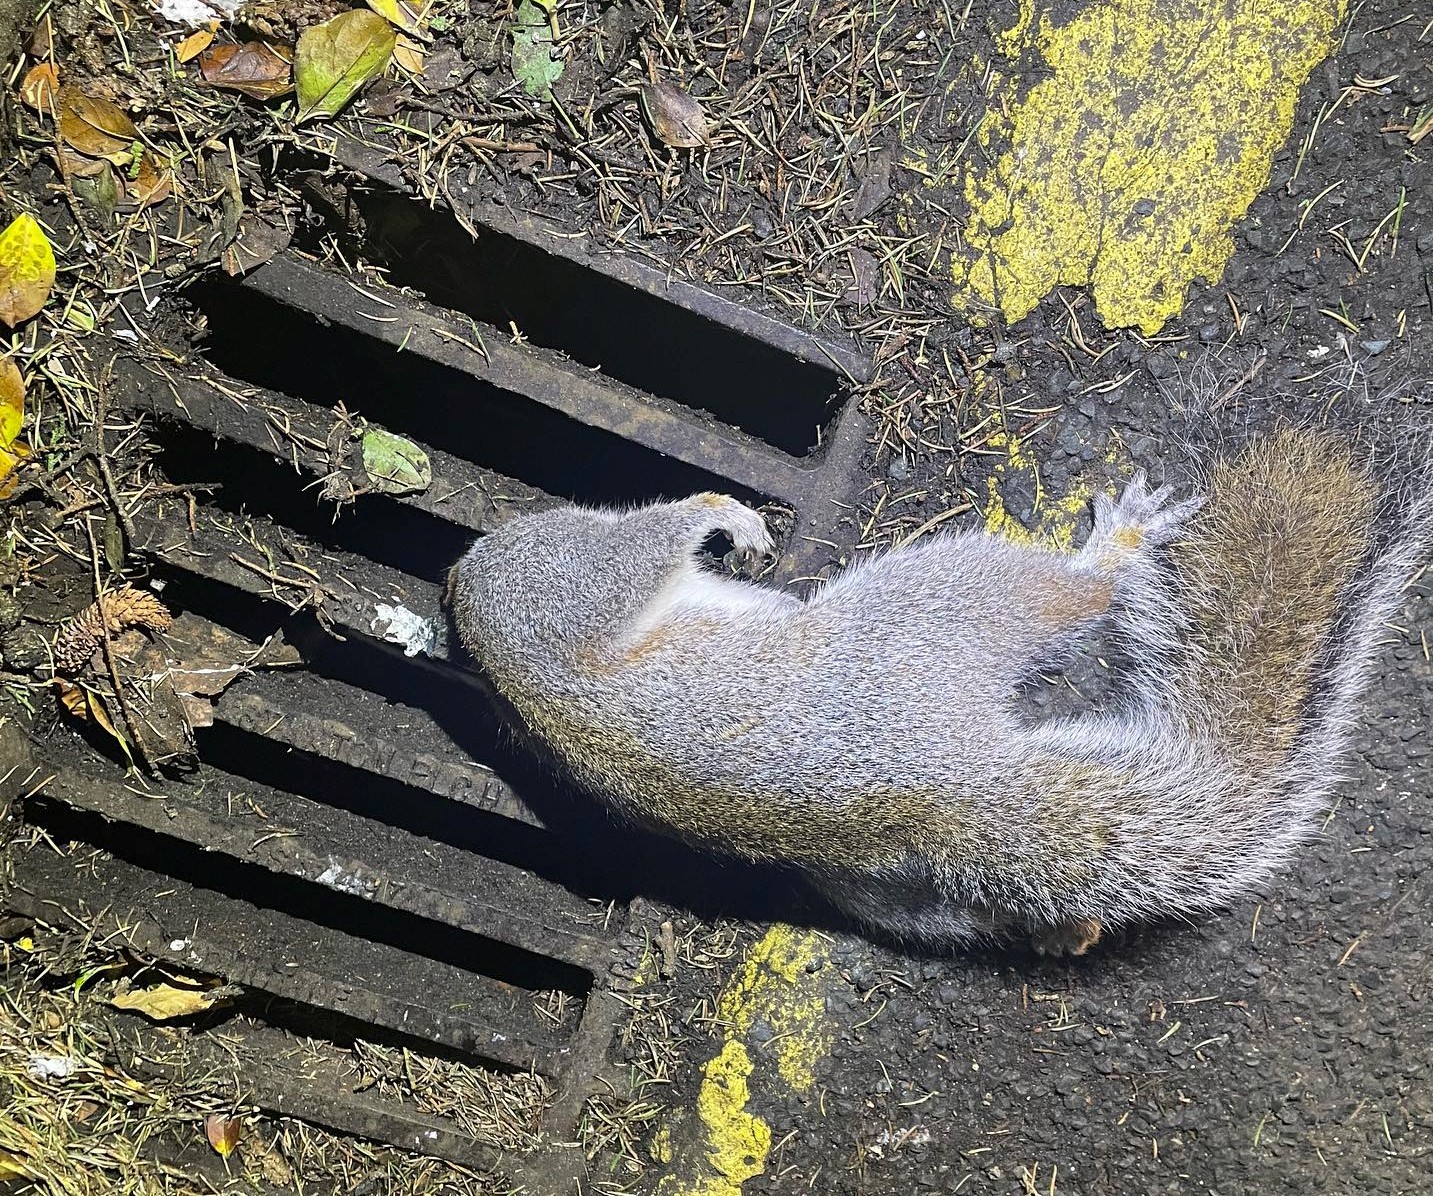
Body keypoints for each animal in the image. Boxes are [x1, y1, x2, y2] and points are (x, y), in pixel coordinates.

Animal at [447, 427, 1432, 955]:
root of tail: (951, 792)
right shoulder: (551, 583)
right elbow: (650, 541)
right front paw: (715, 513)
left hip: (896, 892)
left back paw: (1059, 930)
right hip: (949, 603)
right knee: (1067, 595)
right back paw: (1114, 549)